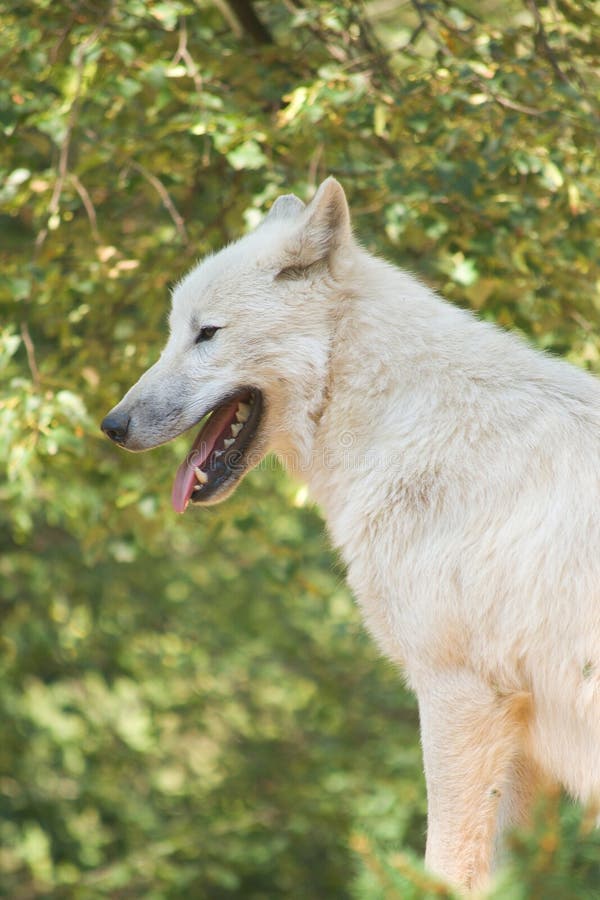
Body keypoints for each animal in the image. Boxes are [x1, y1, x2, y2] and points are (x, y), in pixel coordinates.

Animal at [102, 178, 600, 891]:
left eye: (207, 334)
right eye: (174, 333)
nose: (112, 425)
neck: (405, 423)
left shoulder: (458, 696)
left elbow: (445, 870)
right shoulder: (520, 737)